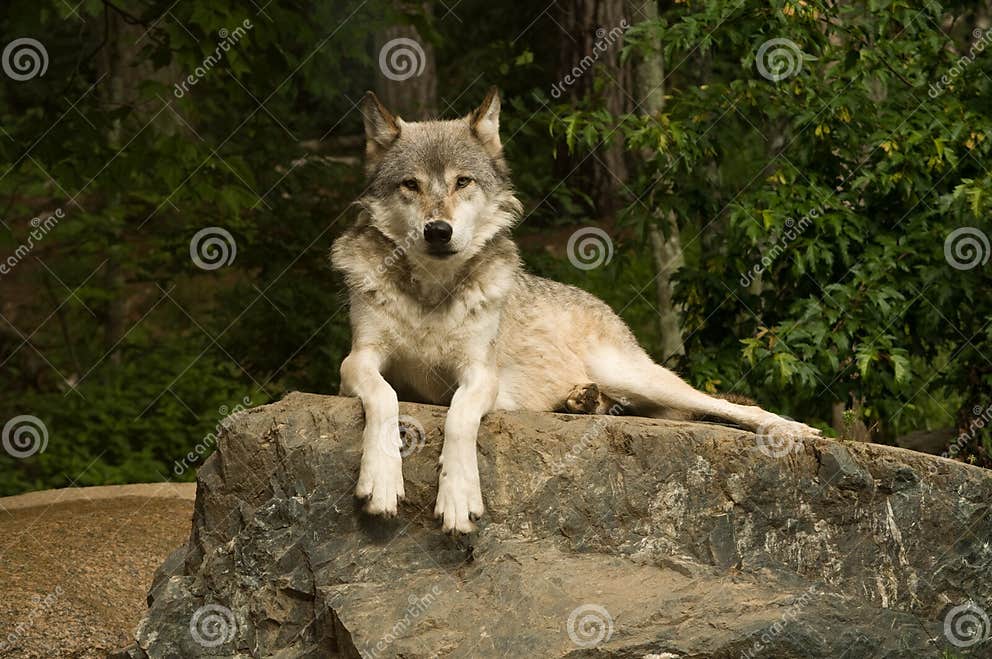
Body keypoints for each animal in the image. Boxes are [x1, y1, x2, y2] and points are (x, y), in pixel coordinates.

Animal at [331, 88, 820, 534]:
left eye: (462, 182)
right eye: (410, 185)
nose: (438, 231)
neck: (432, 294)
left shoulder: (480, 374)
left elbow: (459, 417)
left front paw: (458, 496)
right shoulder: (357, 362)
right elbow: (385, 396)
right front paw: (382, 480)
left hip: (636, 374)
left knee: (722, 405)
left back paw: (795, 428)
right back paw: (586, 402)